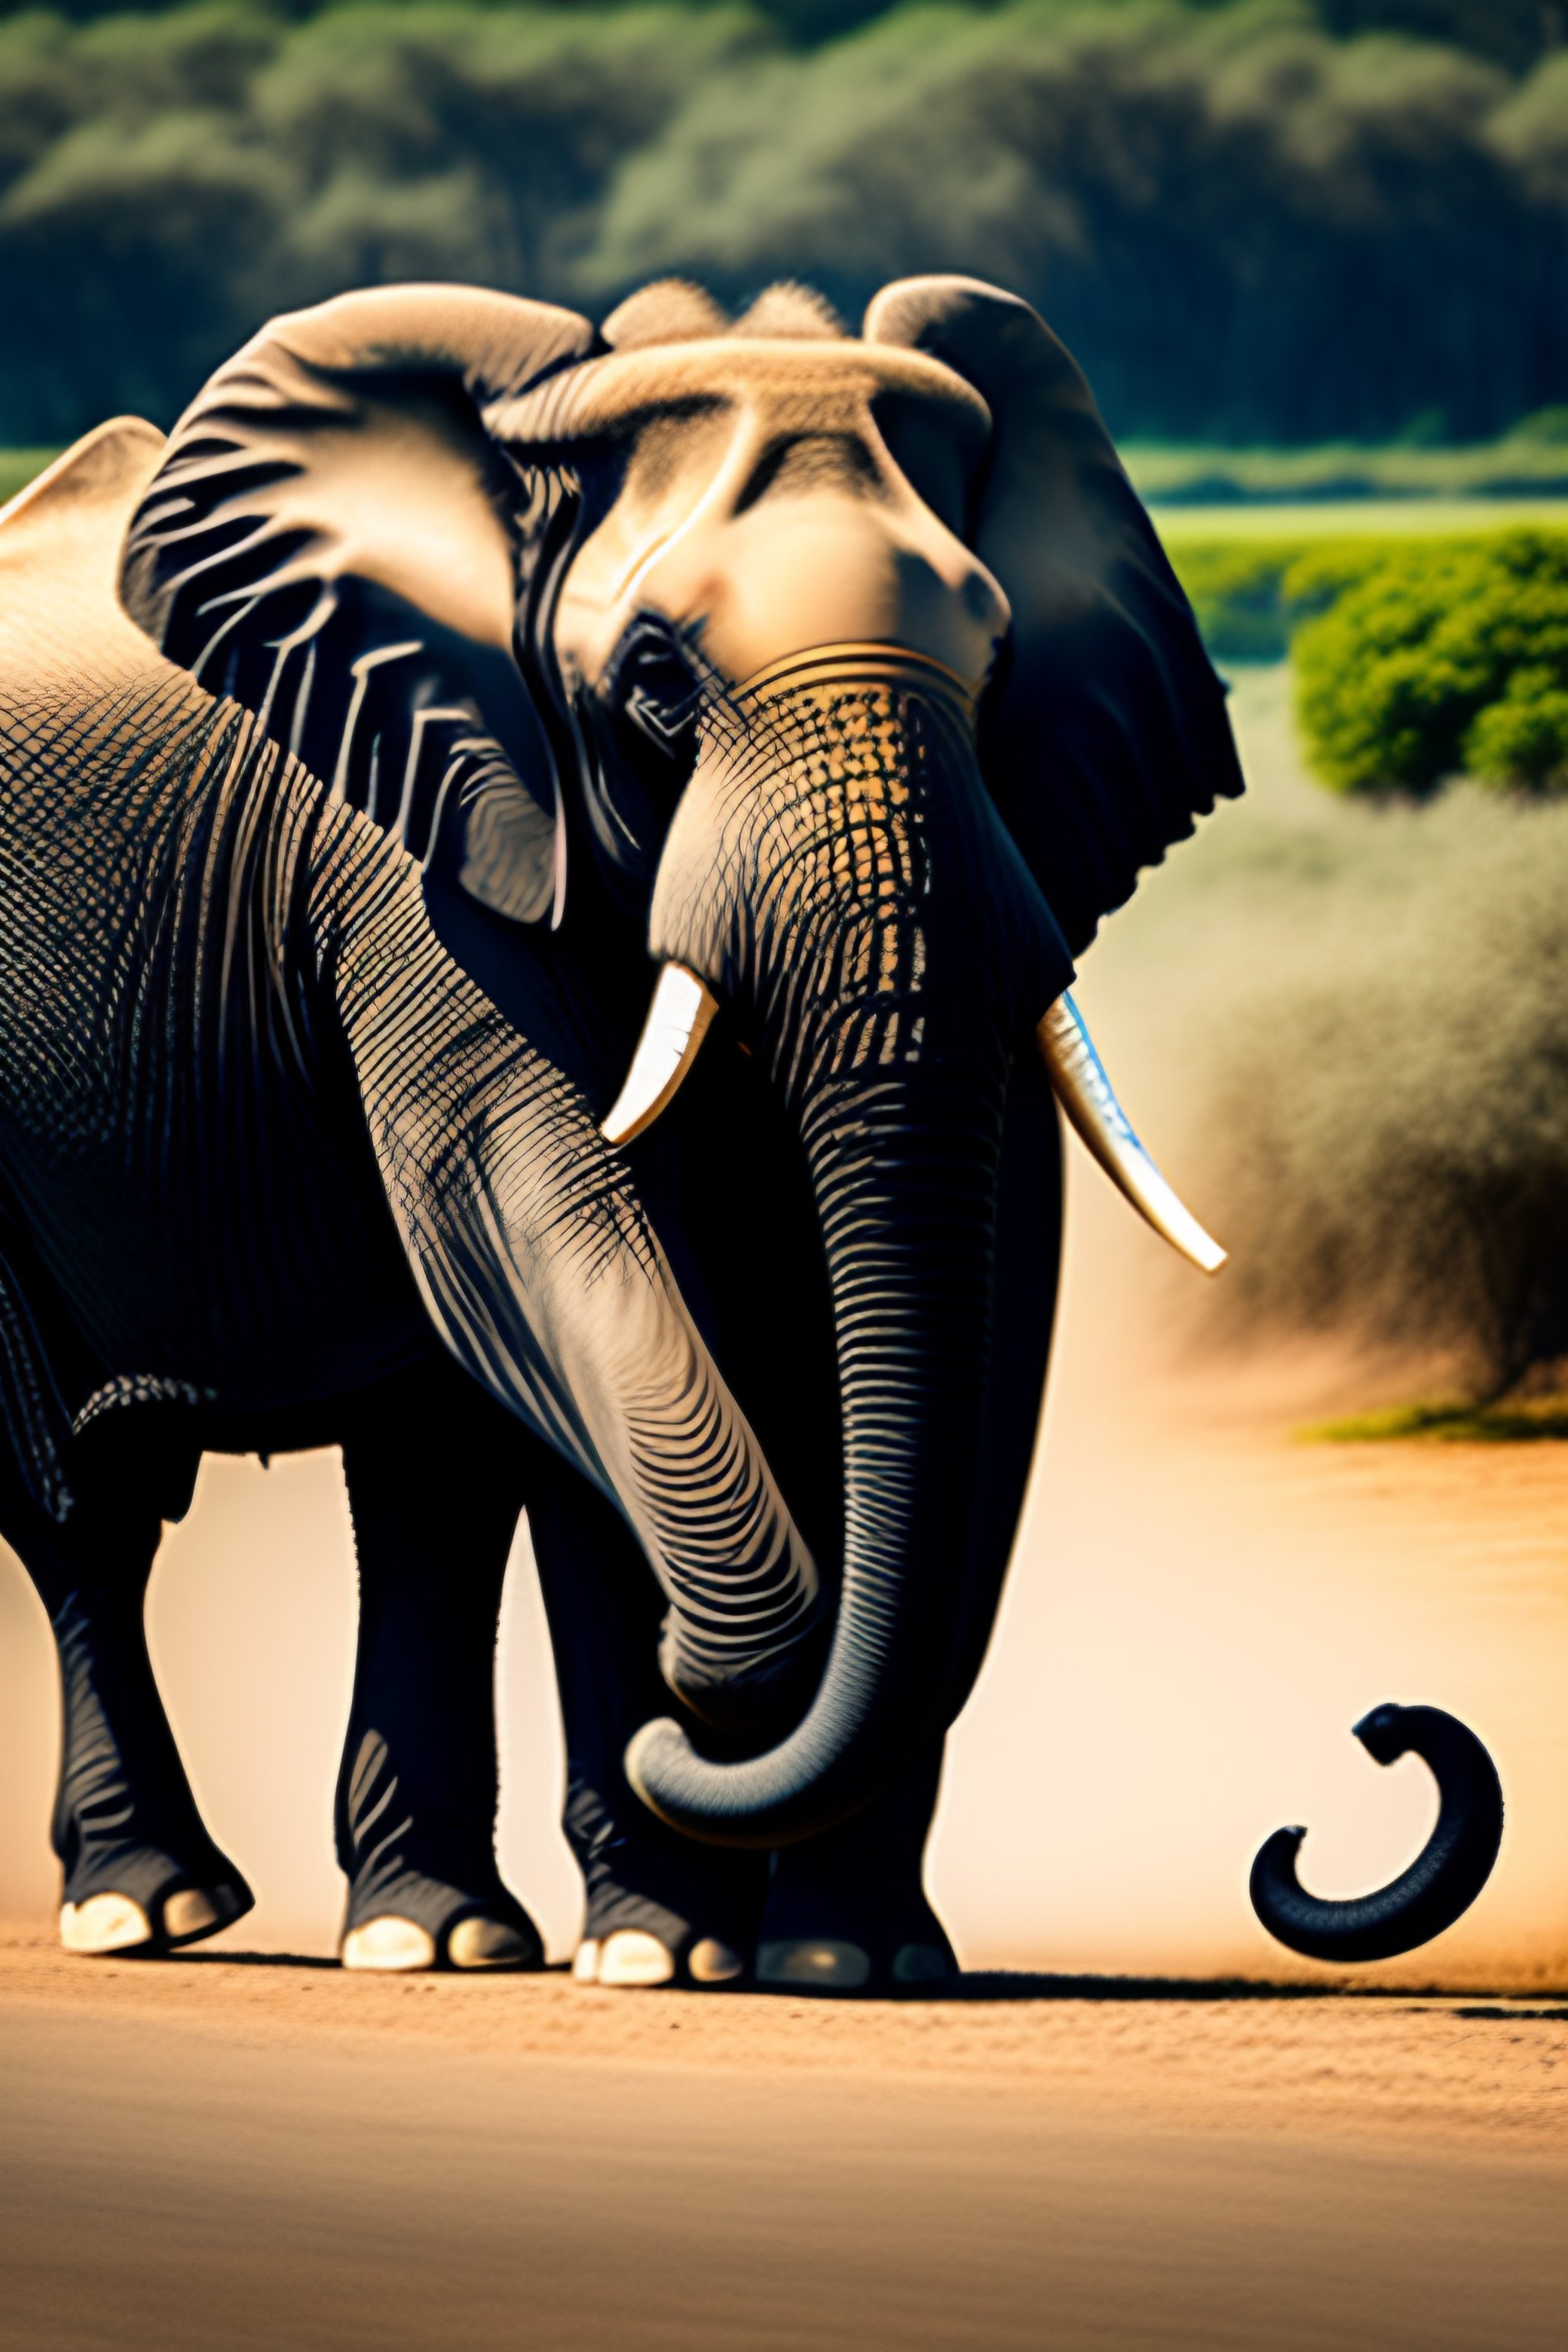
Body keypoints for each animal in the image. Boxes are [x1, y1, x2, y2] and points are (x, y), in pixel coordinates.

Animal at [1, 269, 1257, 1991]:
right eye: (656, 679)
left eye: (999, 663)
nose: (697, 1734)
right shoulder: (421, 846)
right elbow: (570, 1251)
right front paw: (674, 1946)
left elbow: (980, 1299)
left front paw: (849, 1964)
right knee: (88, 1511)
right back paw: (153, 1907)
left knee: (426, 1480)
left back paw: (433, 1934)